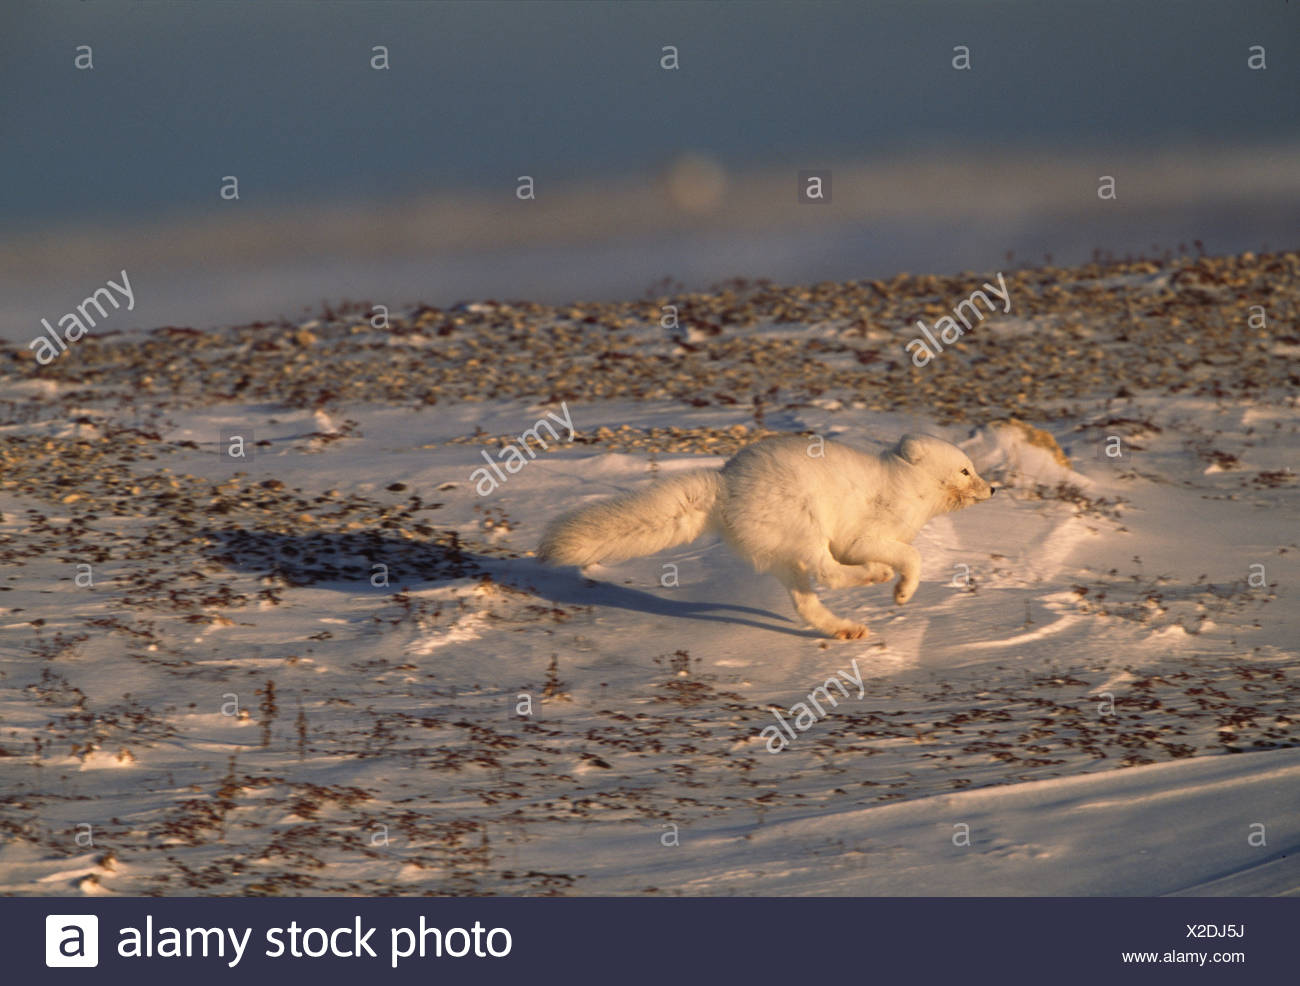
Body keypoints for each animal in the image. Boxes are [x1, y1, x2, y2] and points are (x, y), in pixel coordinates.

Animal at [536, 432, 996, 638]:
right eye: (965, 470)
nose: (993, 489)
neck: (907, 488)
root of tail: (726, 485)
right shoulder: (859, 539)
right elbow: (911, 556)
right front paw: (901, 591)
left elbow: (907, 554)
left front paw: (898, 588)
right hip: (805, 526)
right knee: (827, 573)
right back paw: (874, 578)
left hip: (782, 556)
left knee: (806, 603)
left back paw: (843, 628)